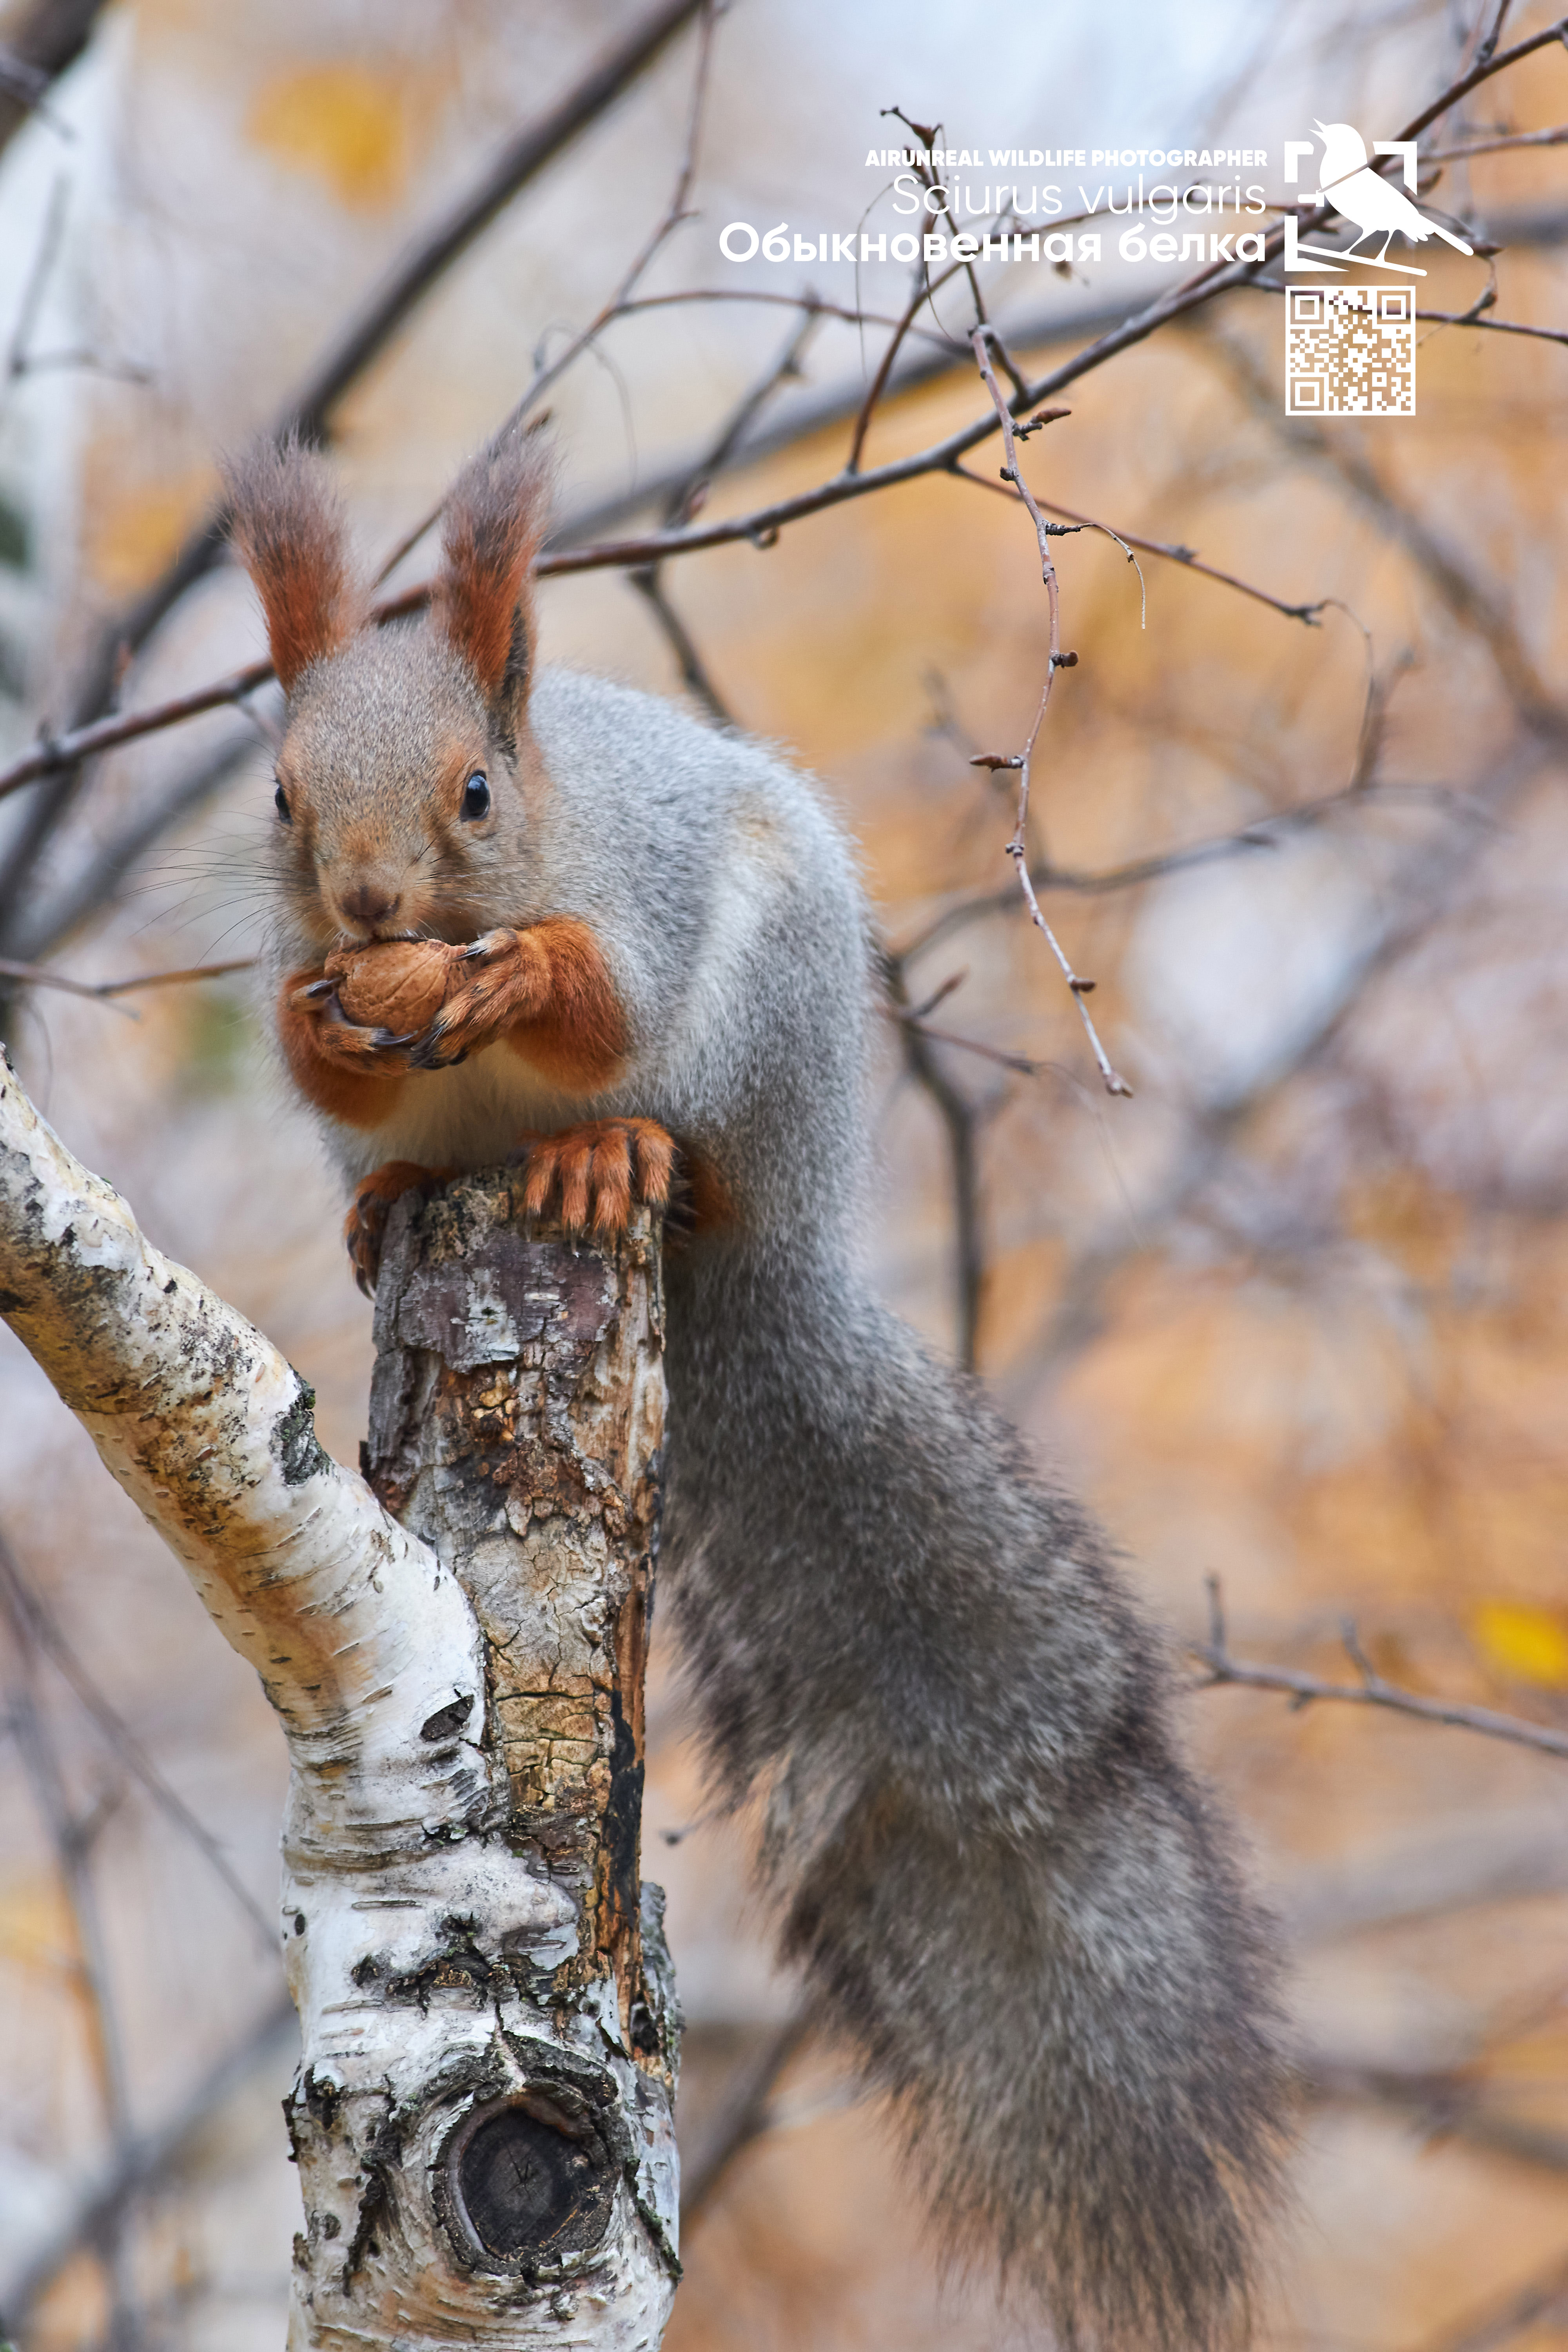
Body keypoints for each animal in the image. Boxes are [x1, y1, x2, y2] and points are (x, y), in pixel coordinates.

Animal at [230, 433, 1288, 2343]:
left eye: (478, 792)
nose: (365, 907)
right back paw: (386, 1199)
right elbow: (313, 1047)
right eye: (278, 797)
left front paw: (509, 975)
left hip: (756, 1060)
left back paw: (609, 1157)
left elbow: (594, 997)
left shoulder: (632, 902)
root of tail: (777, 1260)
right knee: (404, 1167)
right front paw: (325, 1014)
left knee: (667, 1138)